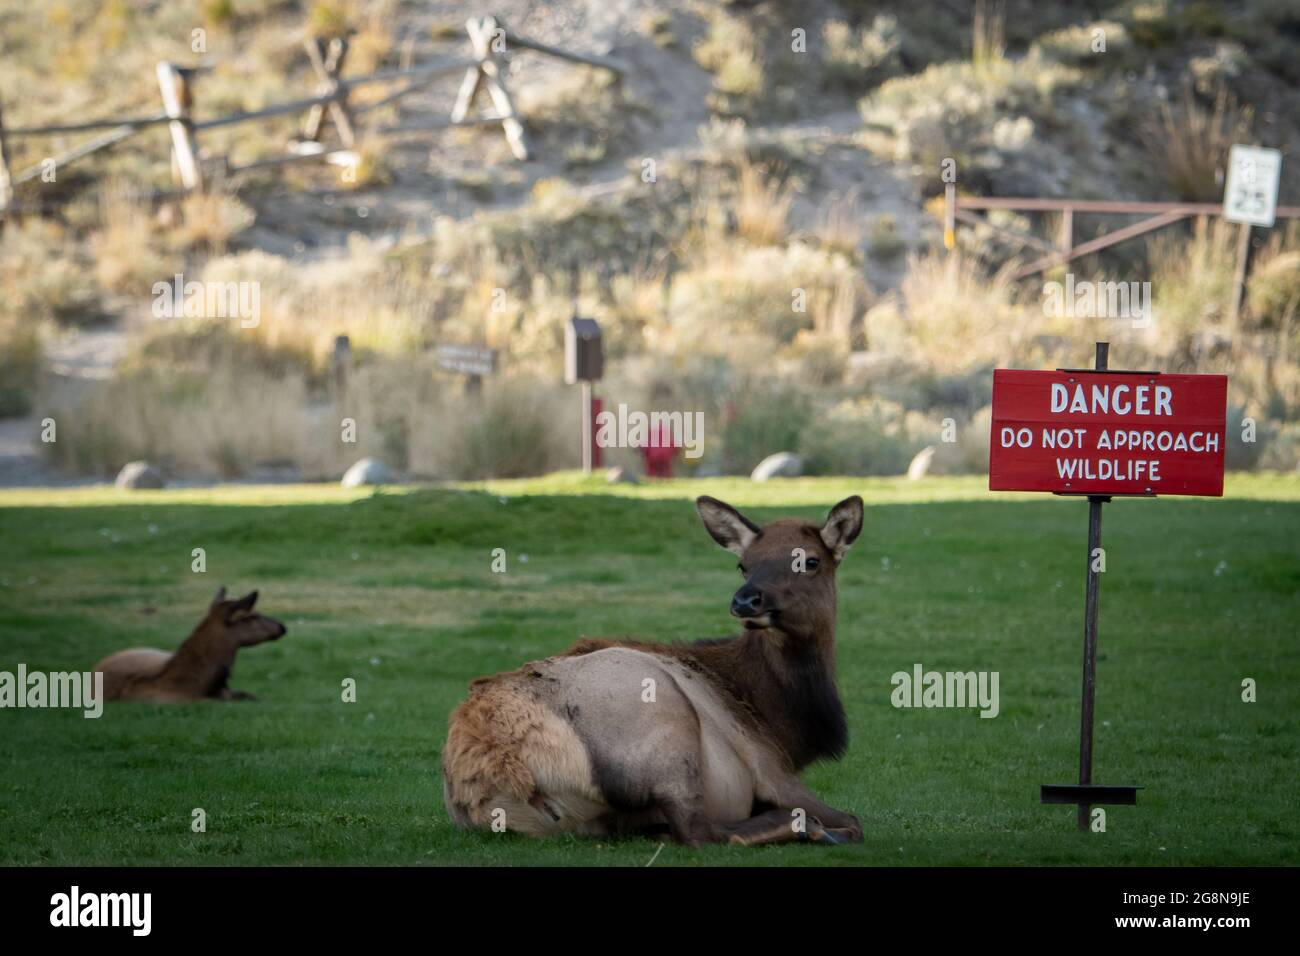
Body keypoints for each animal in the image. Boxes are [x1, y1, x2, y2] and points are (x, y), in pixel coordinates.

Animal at [442, 495, 865, 847]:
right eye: (743, 564)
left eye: (810, 561)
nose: (746, 600)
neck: (784, 723)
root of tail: (492, 765)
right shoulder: (769, 767)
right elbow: (854, 818)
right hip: (666, 723)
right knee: (699, 831)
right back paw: (813, 830)